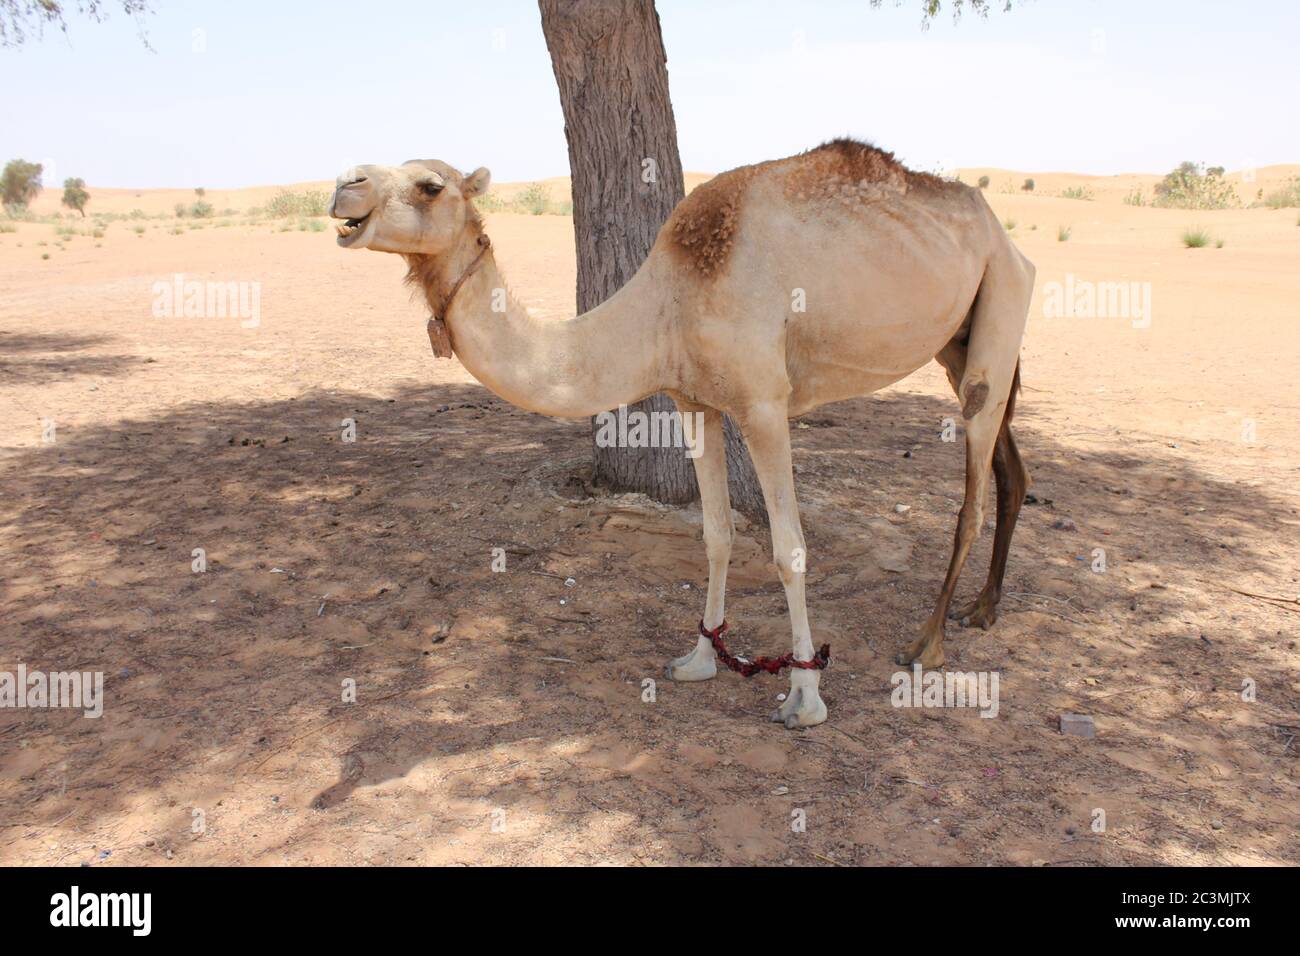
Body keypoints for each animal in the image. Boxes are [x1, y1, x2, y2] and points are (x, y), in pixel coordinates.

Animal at [328, 139, 1035, 729]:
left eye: (429, 186)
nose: (343, 185)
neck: (670, 300)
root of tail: (1006, 236)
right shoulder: (695, 401)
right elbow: (717, 533)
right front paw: (700, 657)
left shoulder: (764, 402)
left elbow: (788, 548)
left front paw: (804, 697)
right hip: (959, 341)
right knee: (1010, 468)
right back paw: (984, 608)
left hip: (1001, 298)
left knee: (972, 492)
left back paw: (928, 642)